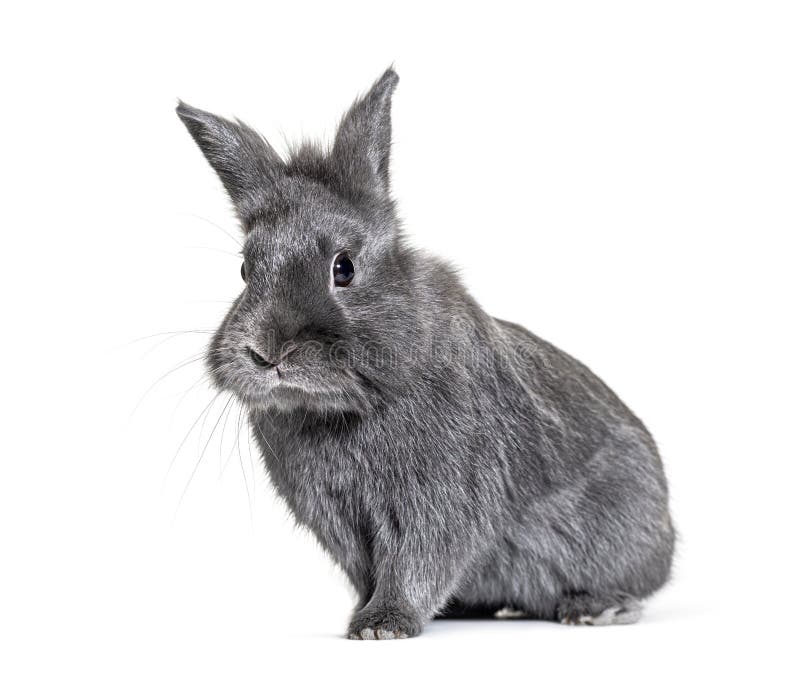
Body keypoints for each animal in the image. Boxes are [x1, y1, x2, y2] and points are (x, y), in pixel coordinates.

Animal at [176, 67, 675, 640]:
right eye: (244, 269)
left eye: (343, 267)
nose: (266, 352)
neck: (343, 409)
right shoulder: (342, 525)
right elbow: (372, 571)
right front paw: (361, 617)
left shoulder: (438, 504)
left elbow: (416, 564)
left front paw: (381, 626)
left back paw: (599, 607)